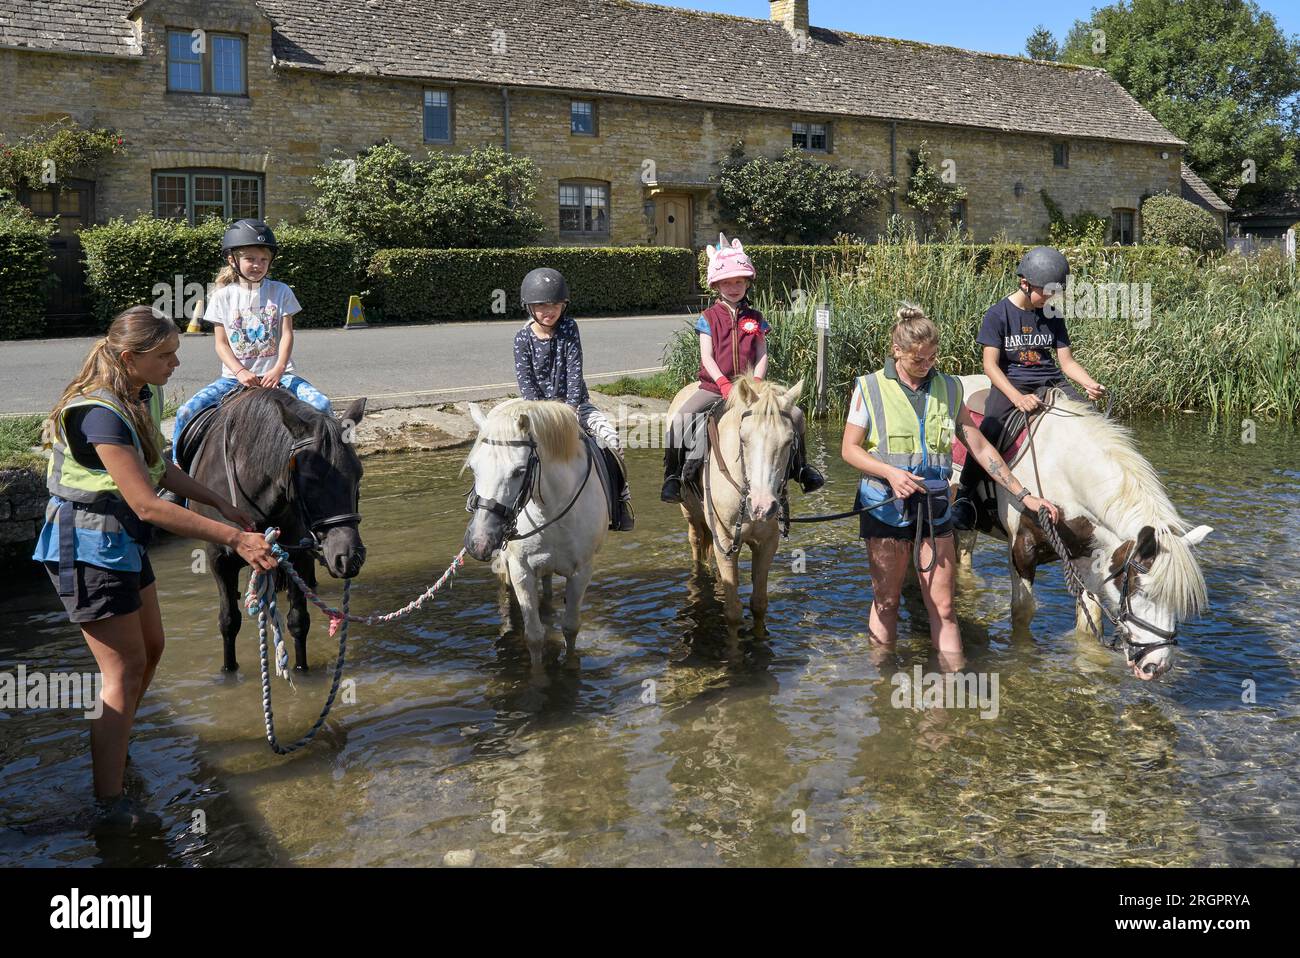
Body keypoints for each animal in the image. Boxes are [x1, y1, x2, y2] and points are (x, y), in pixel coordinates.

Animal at [186, 388, 367, 673]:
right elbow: (229, 621)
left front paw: (302, 670)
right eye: (310, 479)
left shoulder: (298, 555)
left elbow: (299, 621)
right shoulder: (218, 559)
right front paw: (229, 670)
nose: (348, 557)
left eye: (358, 474)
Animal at [463, 399, 608, 672]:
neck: (553, 508)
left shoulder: (581, 572)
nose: (479, 542)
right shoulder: (521, 570)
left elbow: (570, 627)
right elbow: (534, 636)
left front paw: (570, 666)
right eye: (474, 468)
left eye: (519, 471)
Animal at [666, 375, 804, 626]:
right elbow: (733, 613)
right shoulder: (725, 538)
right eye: (744, 439)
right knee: (696, 542)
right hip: (690, 513)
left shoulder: (767, 543)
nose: (761, 507)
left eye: (790, 441)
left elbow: (759, 603)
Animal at [953, 375, 1211, 680]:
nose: (1155, 666)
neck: (1060, 467)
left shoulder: (1089, 555)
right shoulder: (1021, 549)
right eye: (1141, 591)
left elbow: (1090, 622)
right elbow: (1023, 612)